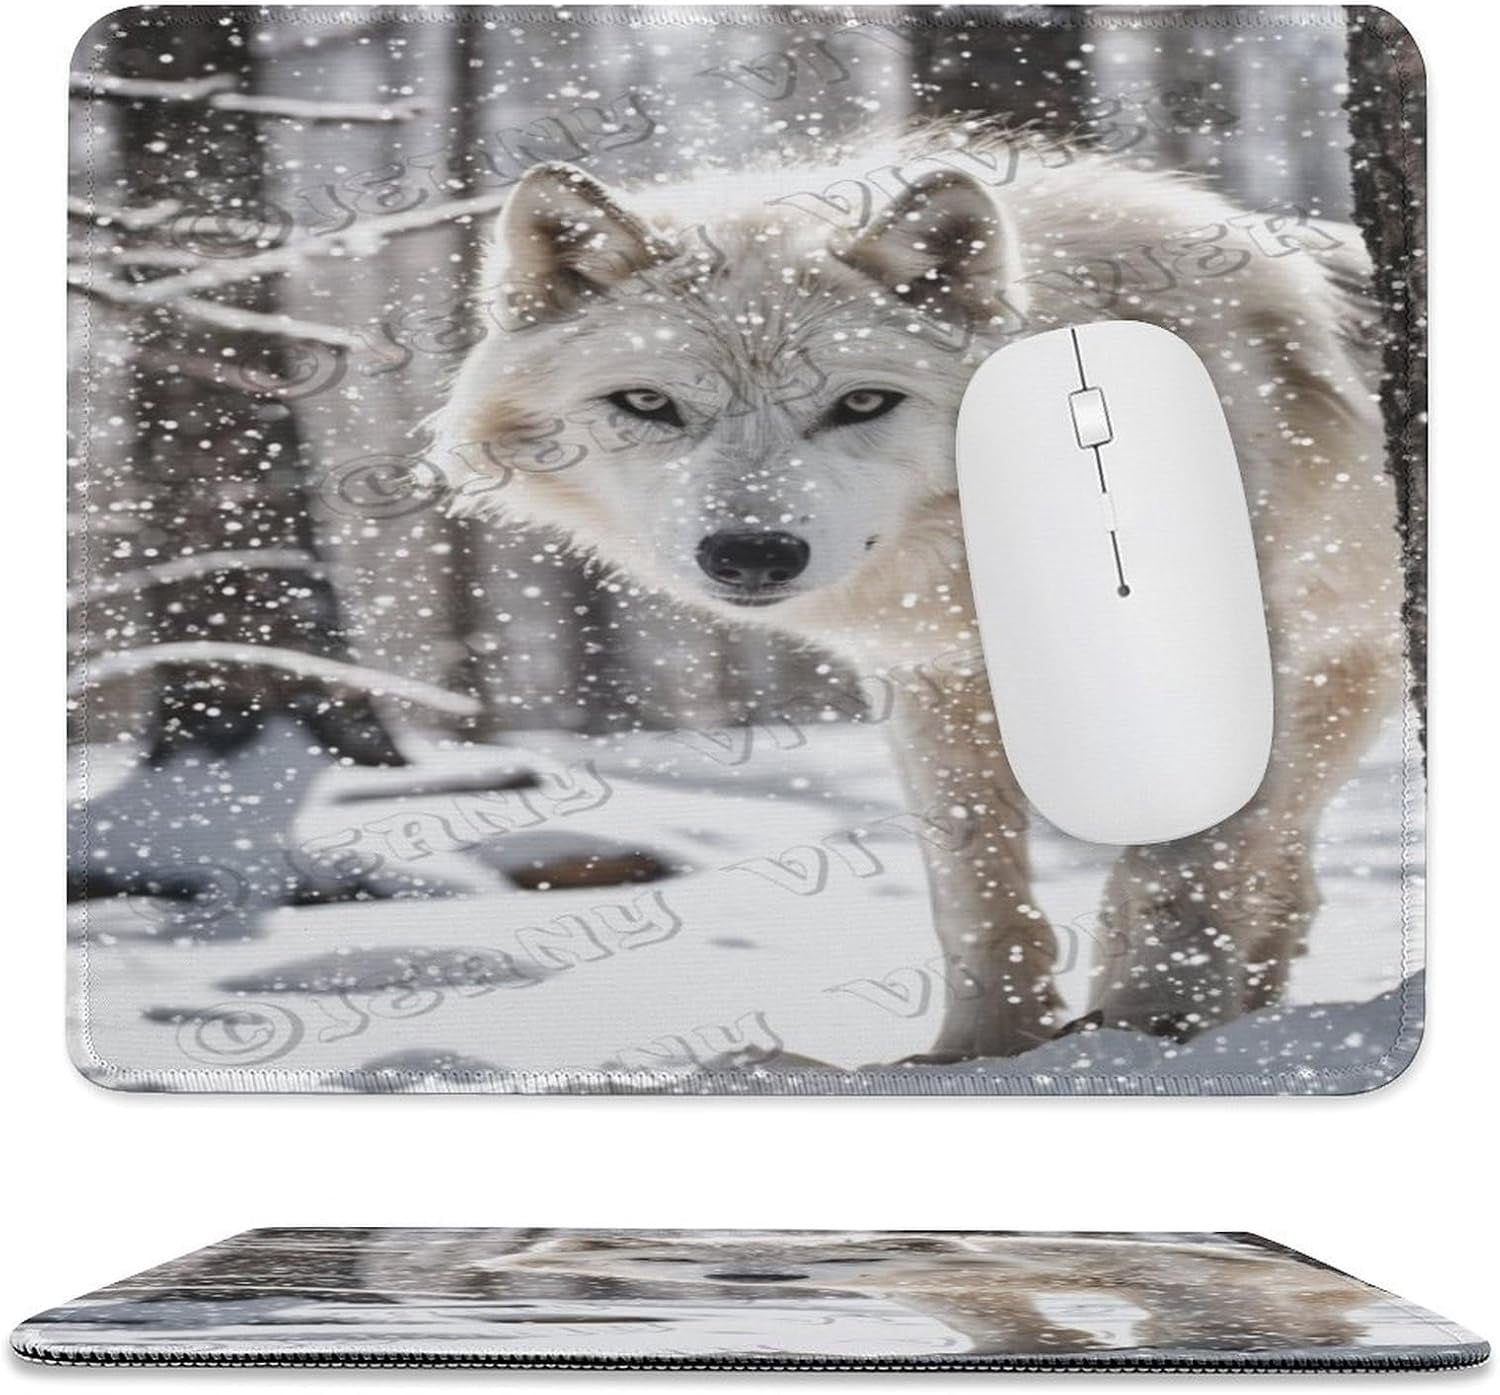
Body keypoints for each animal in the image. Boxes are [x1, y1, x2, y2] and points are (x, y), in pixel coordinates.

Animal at [435, 124, 1402, 1061]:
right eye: (646, 403)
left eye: (863, 403)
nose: (753, 554)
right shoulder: (932, 676)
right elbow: (973, 890)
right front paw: (984, 1050)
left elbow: (1185, 866)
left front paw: (1148, 1030)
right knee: (1290, 864)